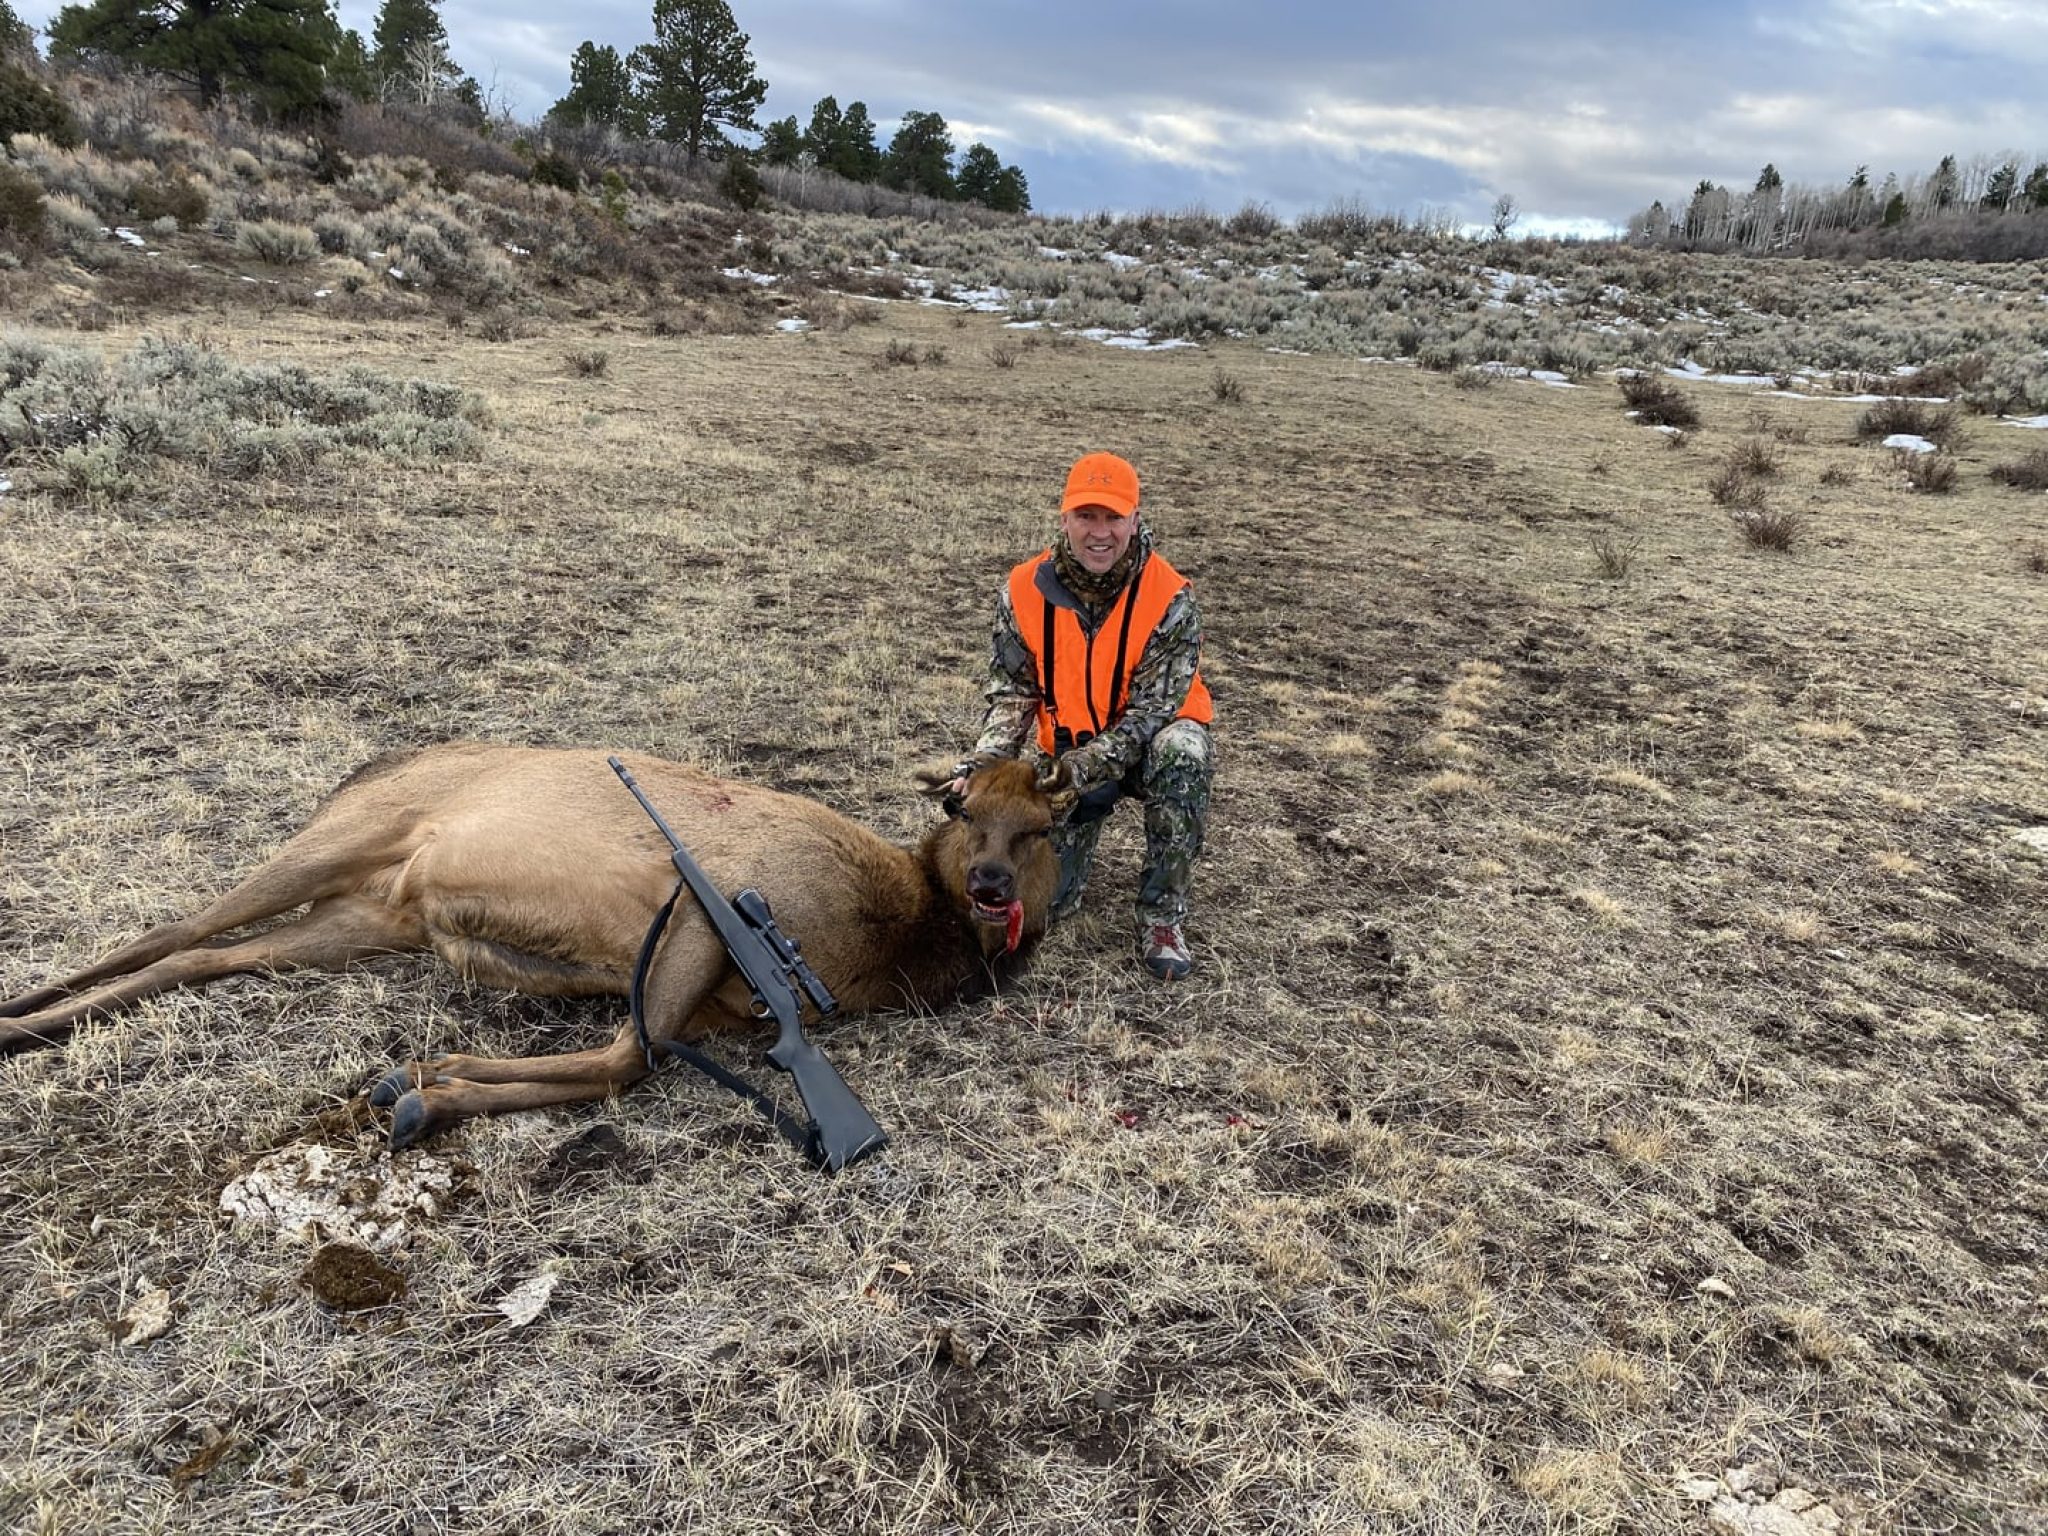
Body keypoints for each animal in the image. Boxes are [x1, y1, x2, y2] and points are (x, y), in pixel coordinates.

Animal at [0, 744, 1060, 1150]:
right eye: (966, 812)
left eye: (1044, 826)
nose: (992, 889)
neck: (910, 937)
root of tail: (369, 769)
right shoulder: (716, 903)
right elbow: (632, 1055)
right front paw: (432, 1084)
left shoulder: (720, 994)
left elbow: (631, 1053)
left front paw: (430, 1083)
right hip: (350, 836)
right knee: (178, 926)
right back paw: (19, 1014)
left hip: (372, 916)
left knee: (200, 957)